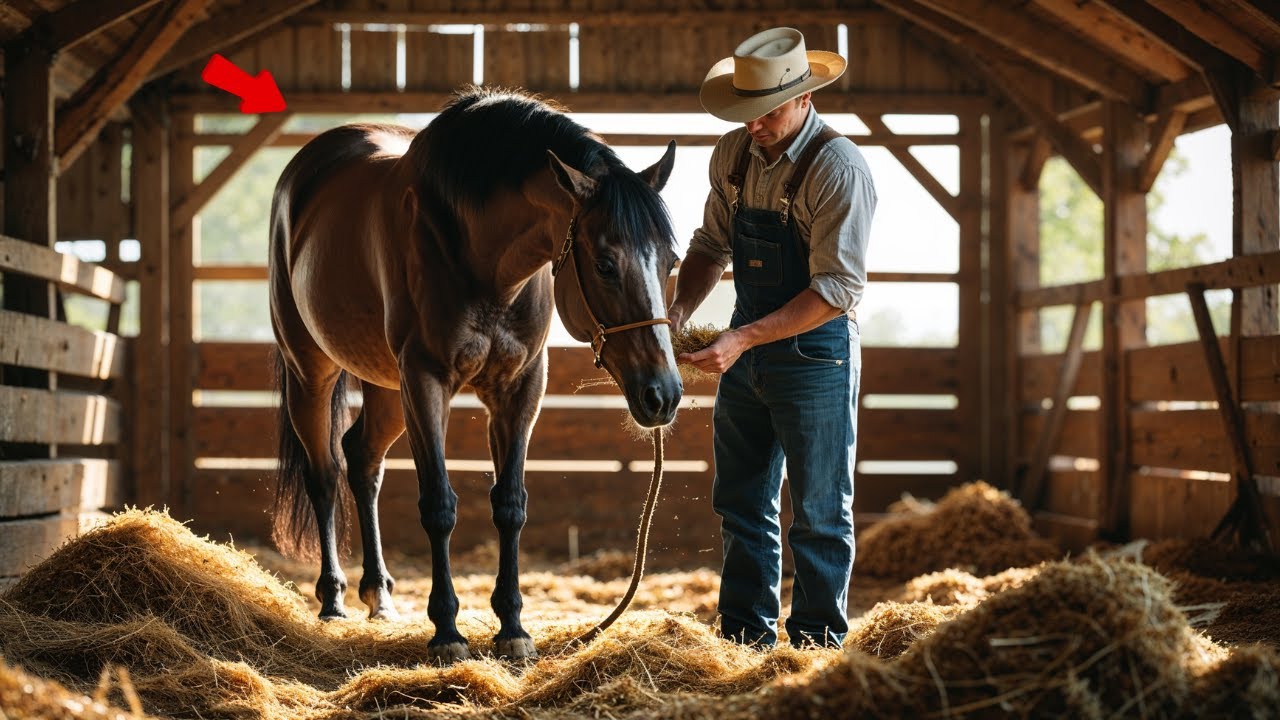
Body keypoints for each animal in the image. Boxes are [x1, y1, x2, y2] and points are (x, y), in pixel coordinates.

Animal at [267, 87, 683, 663]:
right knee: (325, 474)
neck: (477, 253)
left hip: (386, 388)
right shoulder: (426, 382)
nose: (662, 395)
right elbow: (439, 506)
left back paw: (380, 596)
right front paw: (447, 630)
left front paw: (513, 628)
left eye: (670, 260)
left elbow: (510, 505)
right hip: (313, 371)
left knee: (362, 461)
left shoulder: (519, 389)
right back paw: (333, 600)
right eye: (604, 263)